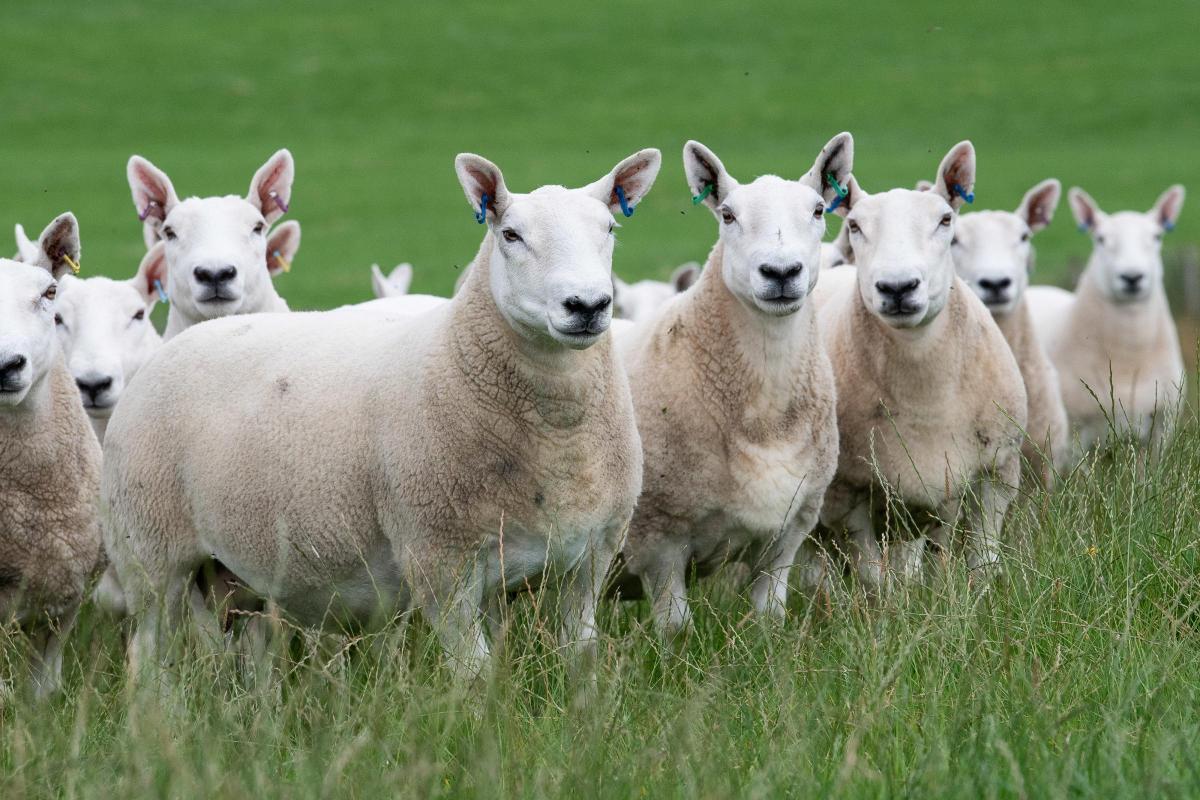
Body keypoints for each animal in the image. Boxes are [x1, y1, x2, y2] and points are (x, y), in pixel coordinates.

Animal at [612, 134, 851, 637]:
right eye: (727, 215)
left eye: (819, 209)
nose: (781, 273)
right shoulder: (657, 541)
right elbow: (677, 631)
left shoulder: (788, 534)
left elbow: (770, 618)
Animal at [809, 142, 1027, 591]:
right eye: (855, 225)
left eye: (946, 221)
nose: (897, 287)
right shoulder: (845, 496)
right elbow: (874, 579)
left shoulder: (998, 472)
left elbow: (983, 561)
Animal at [1026, 186, 1186, 454]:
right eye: (1100, 238)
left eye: (1157, 236)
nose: (1132, 277)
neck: (1129, 359)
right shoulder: (1075, 437)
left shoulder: (1160, 430)